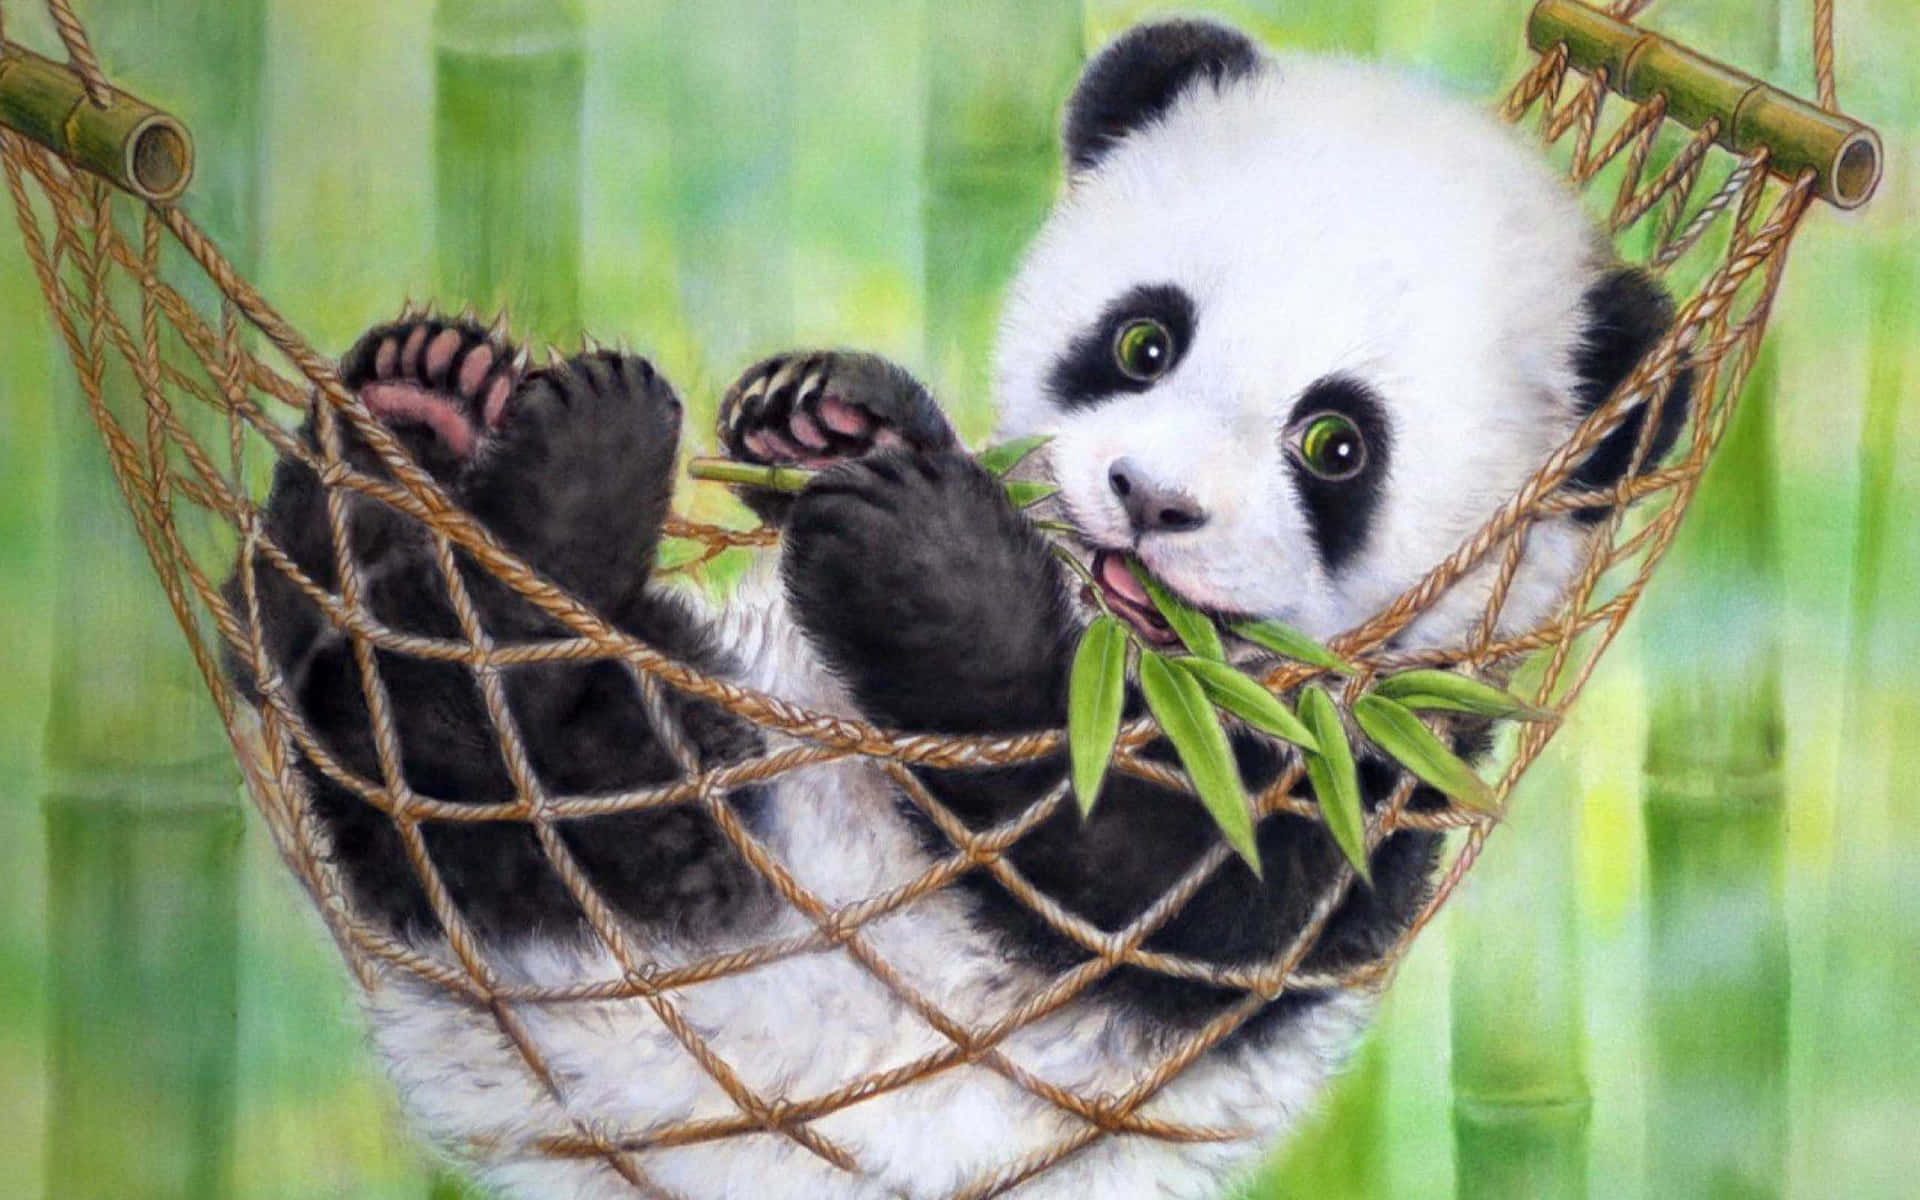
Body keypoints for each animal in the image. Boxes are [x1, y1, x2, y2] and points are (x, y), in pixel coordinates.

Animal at [233, 18, 1683, 1200]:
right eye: (1144, 341)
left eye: (1336, 444)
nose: (1149, 502)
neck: (1131, 653)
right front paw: (831, 415)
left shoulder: (1363, 783)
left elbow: (1129, 876)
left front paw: (922, 563)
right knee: (301, 658)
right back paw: (418, 412)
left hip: (680, 879)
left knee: (483, 748)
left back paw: (557, 489)